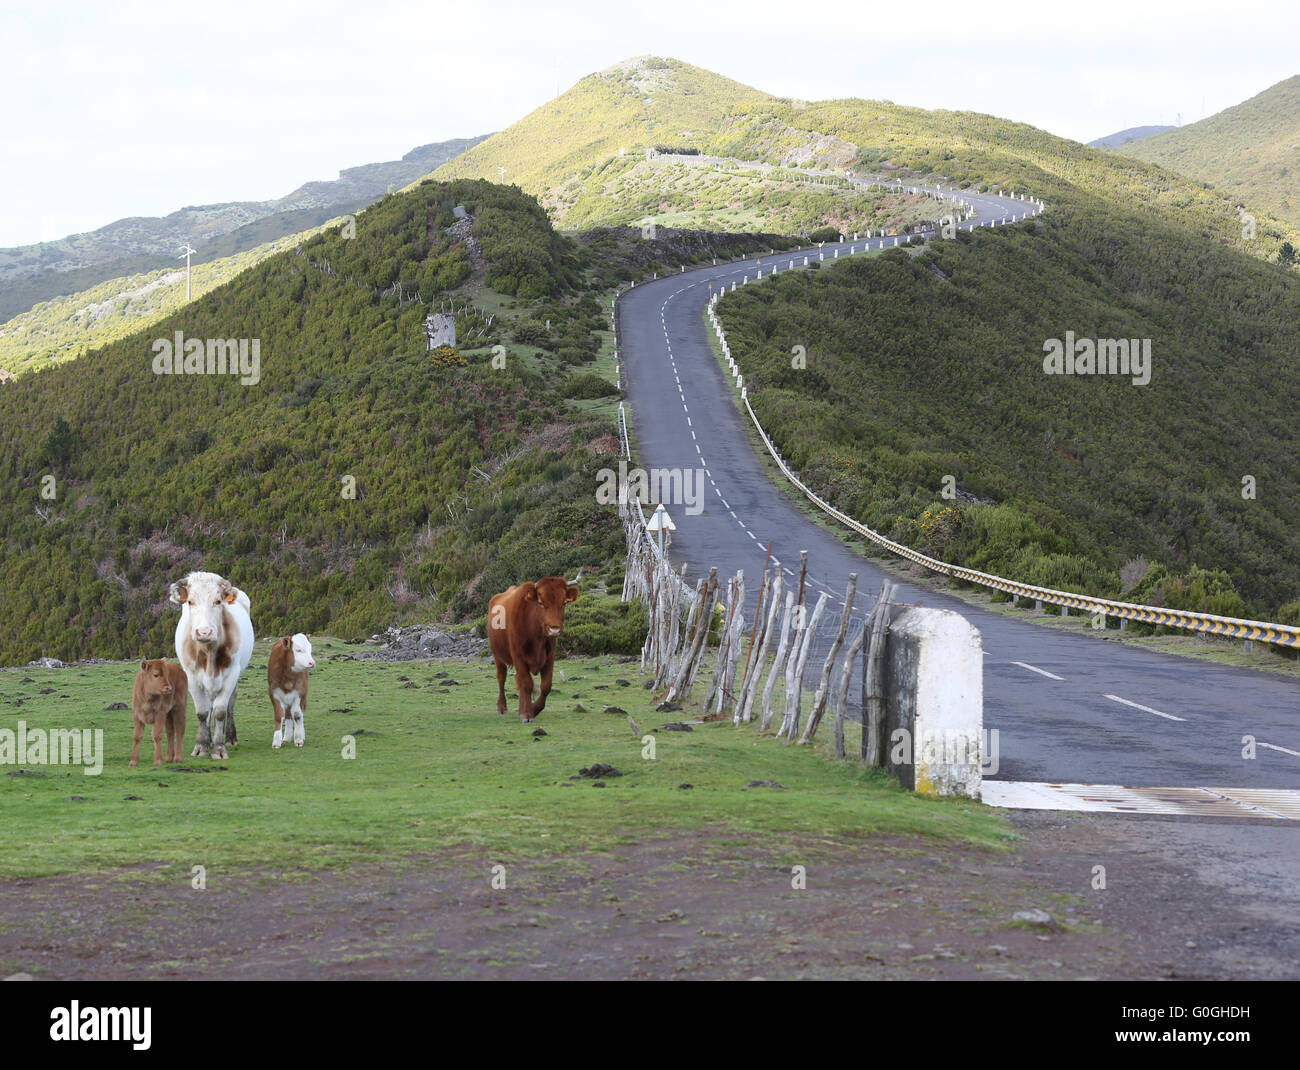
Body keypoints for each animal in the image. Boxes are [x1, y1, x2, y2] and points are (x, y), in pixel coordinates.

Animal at [169, 571, 254, 760]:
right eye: (190, 601)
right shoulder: (191, 676)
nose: (204, 632)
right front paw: (201, 745)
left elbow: (221, 710)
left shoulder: (231, 673)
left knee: (229, 703)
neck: (209, 654)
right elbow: (202, 711)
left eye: (218, 601)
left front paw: (219, 748)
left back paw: (229, 737)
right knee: (209, 706)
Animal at [488, 576, 579, 722]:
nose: (554, 629)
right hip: (498, 655)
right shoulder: (518, 657)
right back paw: (502, 707)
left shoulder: (549, 657)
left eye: (564, 603)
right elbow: (527, 684)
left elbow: (546, 686)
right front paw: (527, 714)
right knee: (502, 678)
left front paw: (533, 709)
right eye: (540, 603)